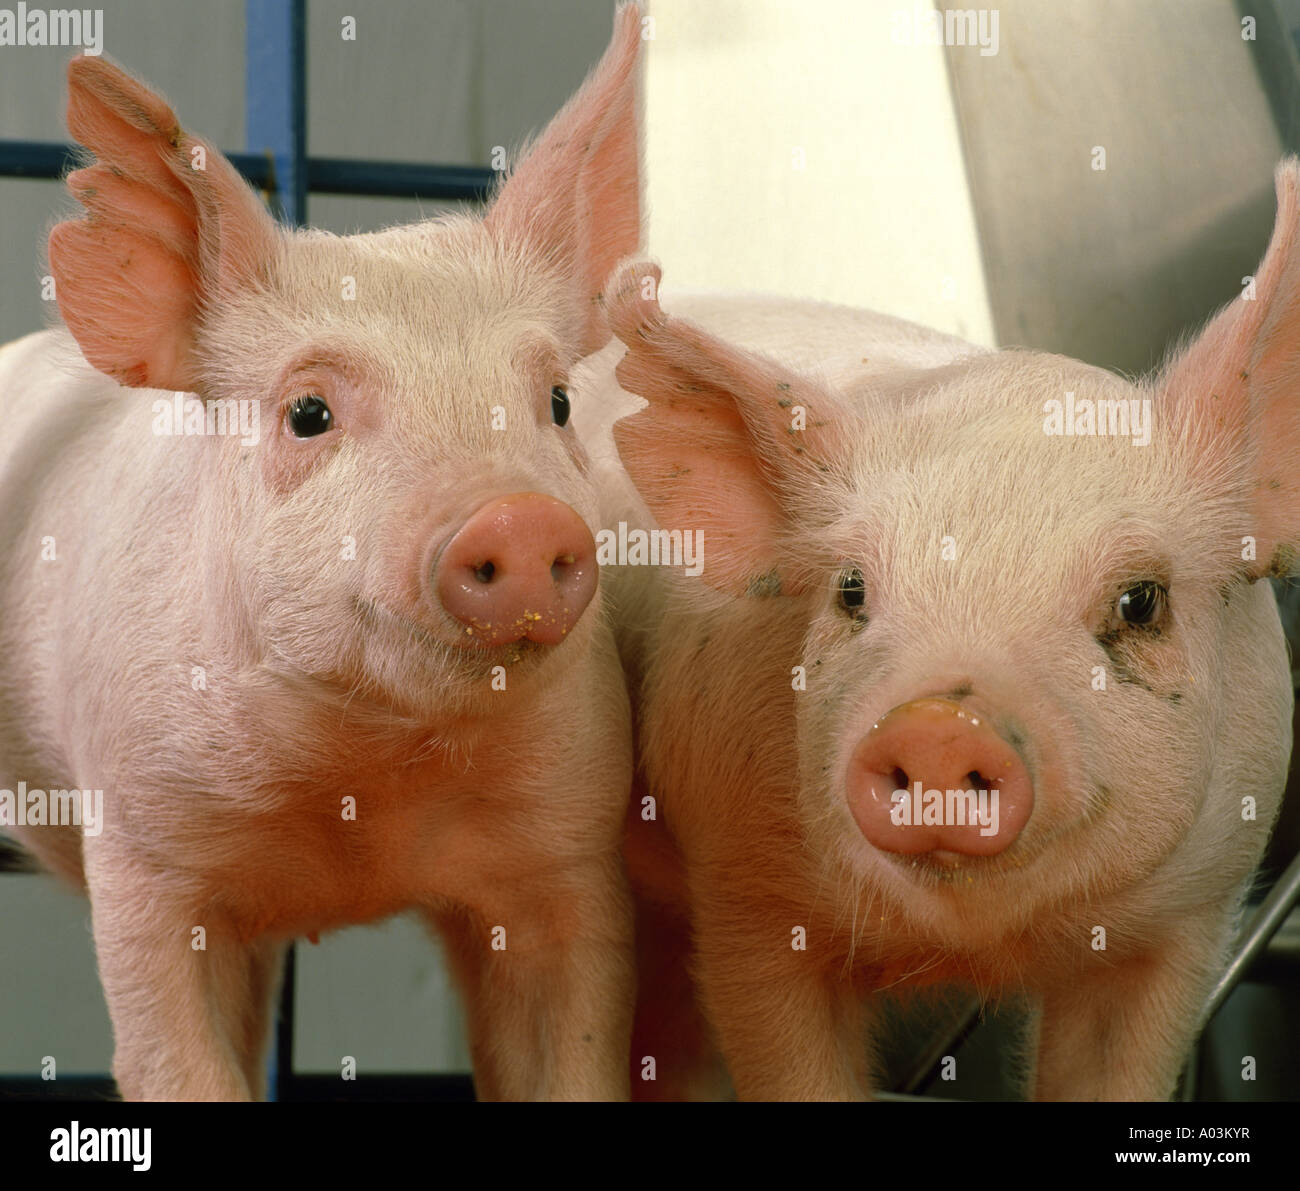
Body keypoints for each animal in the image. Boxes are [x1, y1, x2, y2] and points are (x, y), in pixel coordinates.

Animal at [0, 3, 645, 1101]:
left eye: (556, 401)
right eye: (308, 412)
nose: (517, 518)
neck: (365, 789)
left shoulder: (571, 838)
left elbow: (574, 1045)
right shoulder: (141, 839)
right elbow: (171, 1055)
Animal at [588, 162, 1298, 1101]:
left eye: (1142, 602)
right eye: (852, 590)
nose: (938, 724)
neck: (968, 945)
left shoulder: (1196, 910)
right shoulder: (744, 895)